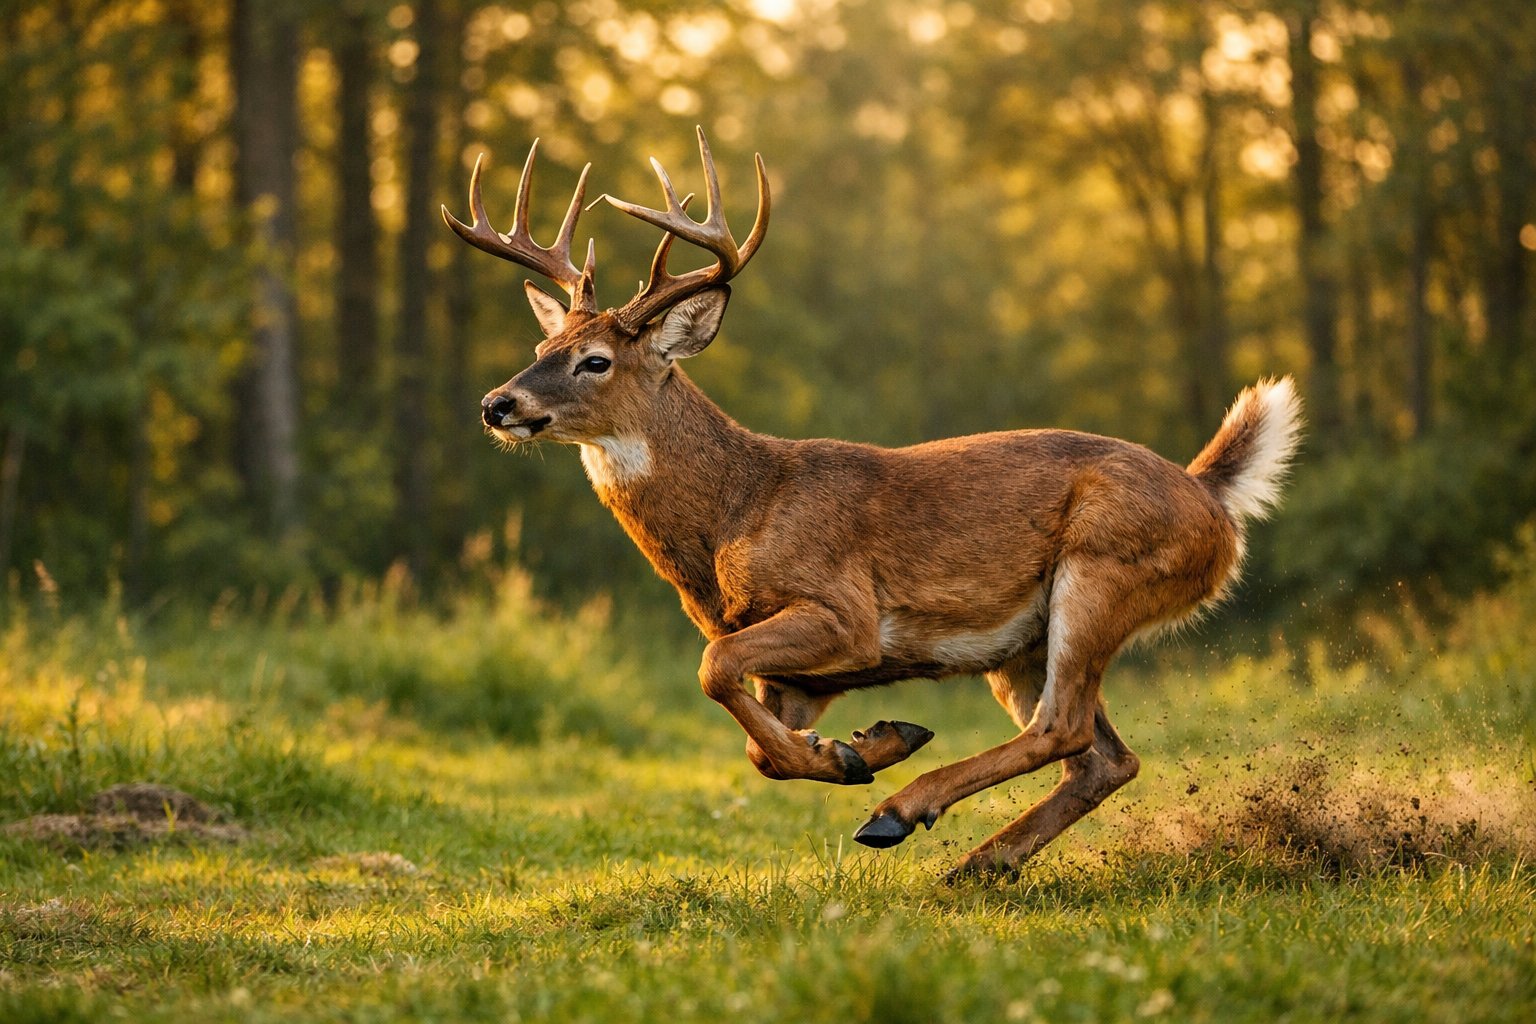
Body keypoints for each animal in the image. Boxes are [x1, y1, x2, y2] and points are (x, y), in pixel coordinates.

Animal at [442, 128, 1303, 879]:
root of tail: (1207, 494)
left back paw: (900, 813)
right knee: (1103, 757)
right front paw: (863, 744)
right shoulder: (797, 678)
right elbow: (757, 746)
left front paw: (866, 754)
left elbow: (713, 669)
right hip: (1024, 642)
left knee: (1062, 726)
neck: (735, 513)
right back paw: (975, 861)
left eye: (594, 361)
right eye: (541, 348)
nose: (497, 404)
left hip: (1103, 573)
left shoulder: (844, 612)